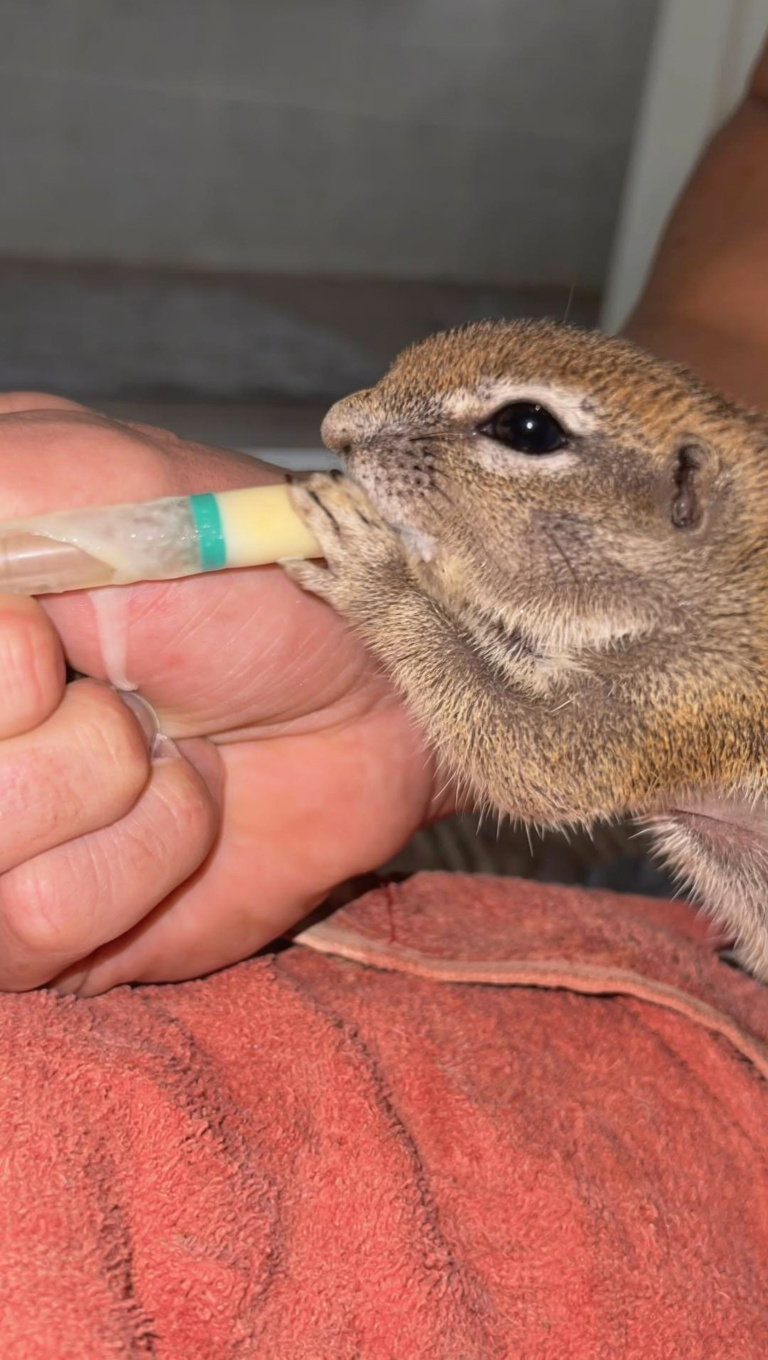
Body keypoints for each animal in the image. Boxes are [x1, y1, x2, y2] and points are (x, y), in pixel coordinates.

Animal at [285, 319, 768, 980]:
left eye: (528, 428)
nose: (334, 427)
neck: (724, 575)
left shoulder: (685, 698)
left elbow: (531, 758)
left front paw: (376, 569)